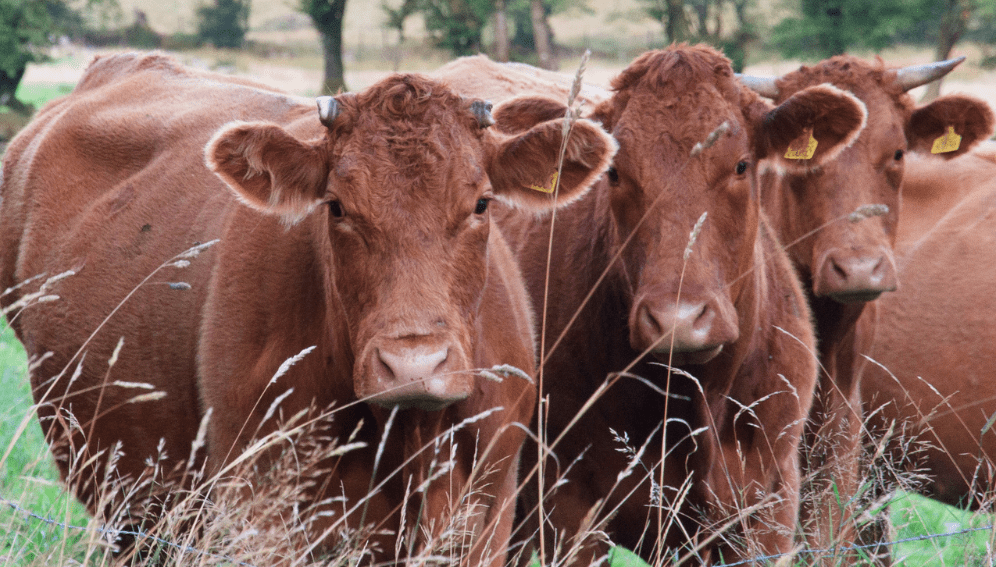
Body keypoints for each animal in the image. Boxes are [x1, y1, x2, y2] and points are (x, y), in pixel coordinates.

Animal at [0, 52, 617, 565]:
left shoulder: (489, 512)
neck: (411, 437)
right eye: (337, 206)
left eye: (482, 203)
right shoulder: (262, 511)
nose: (414, 366)